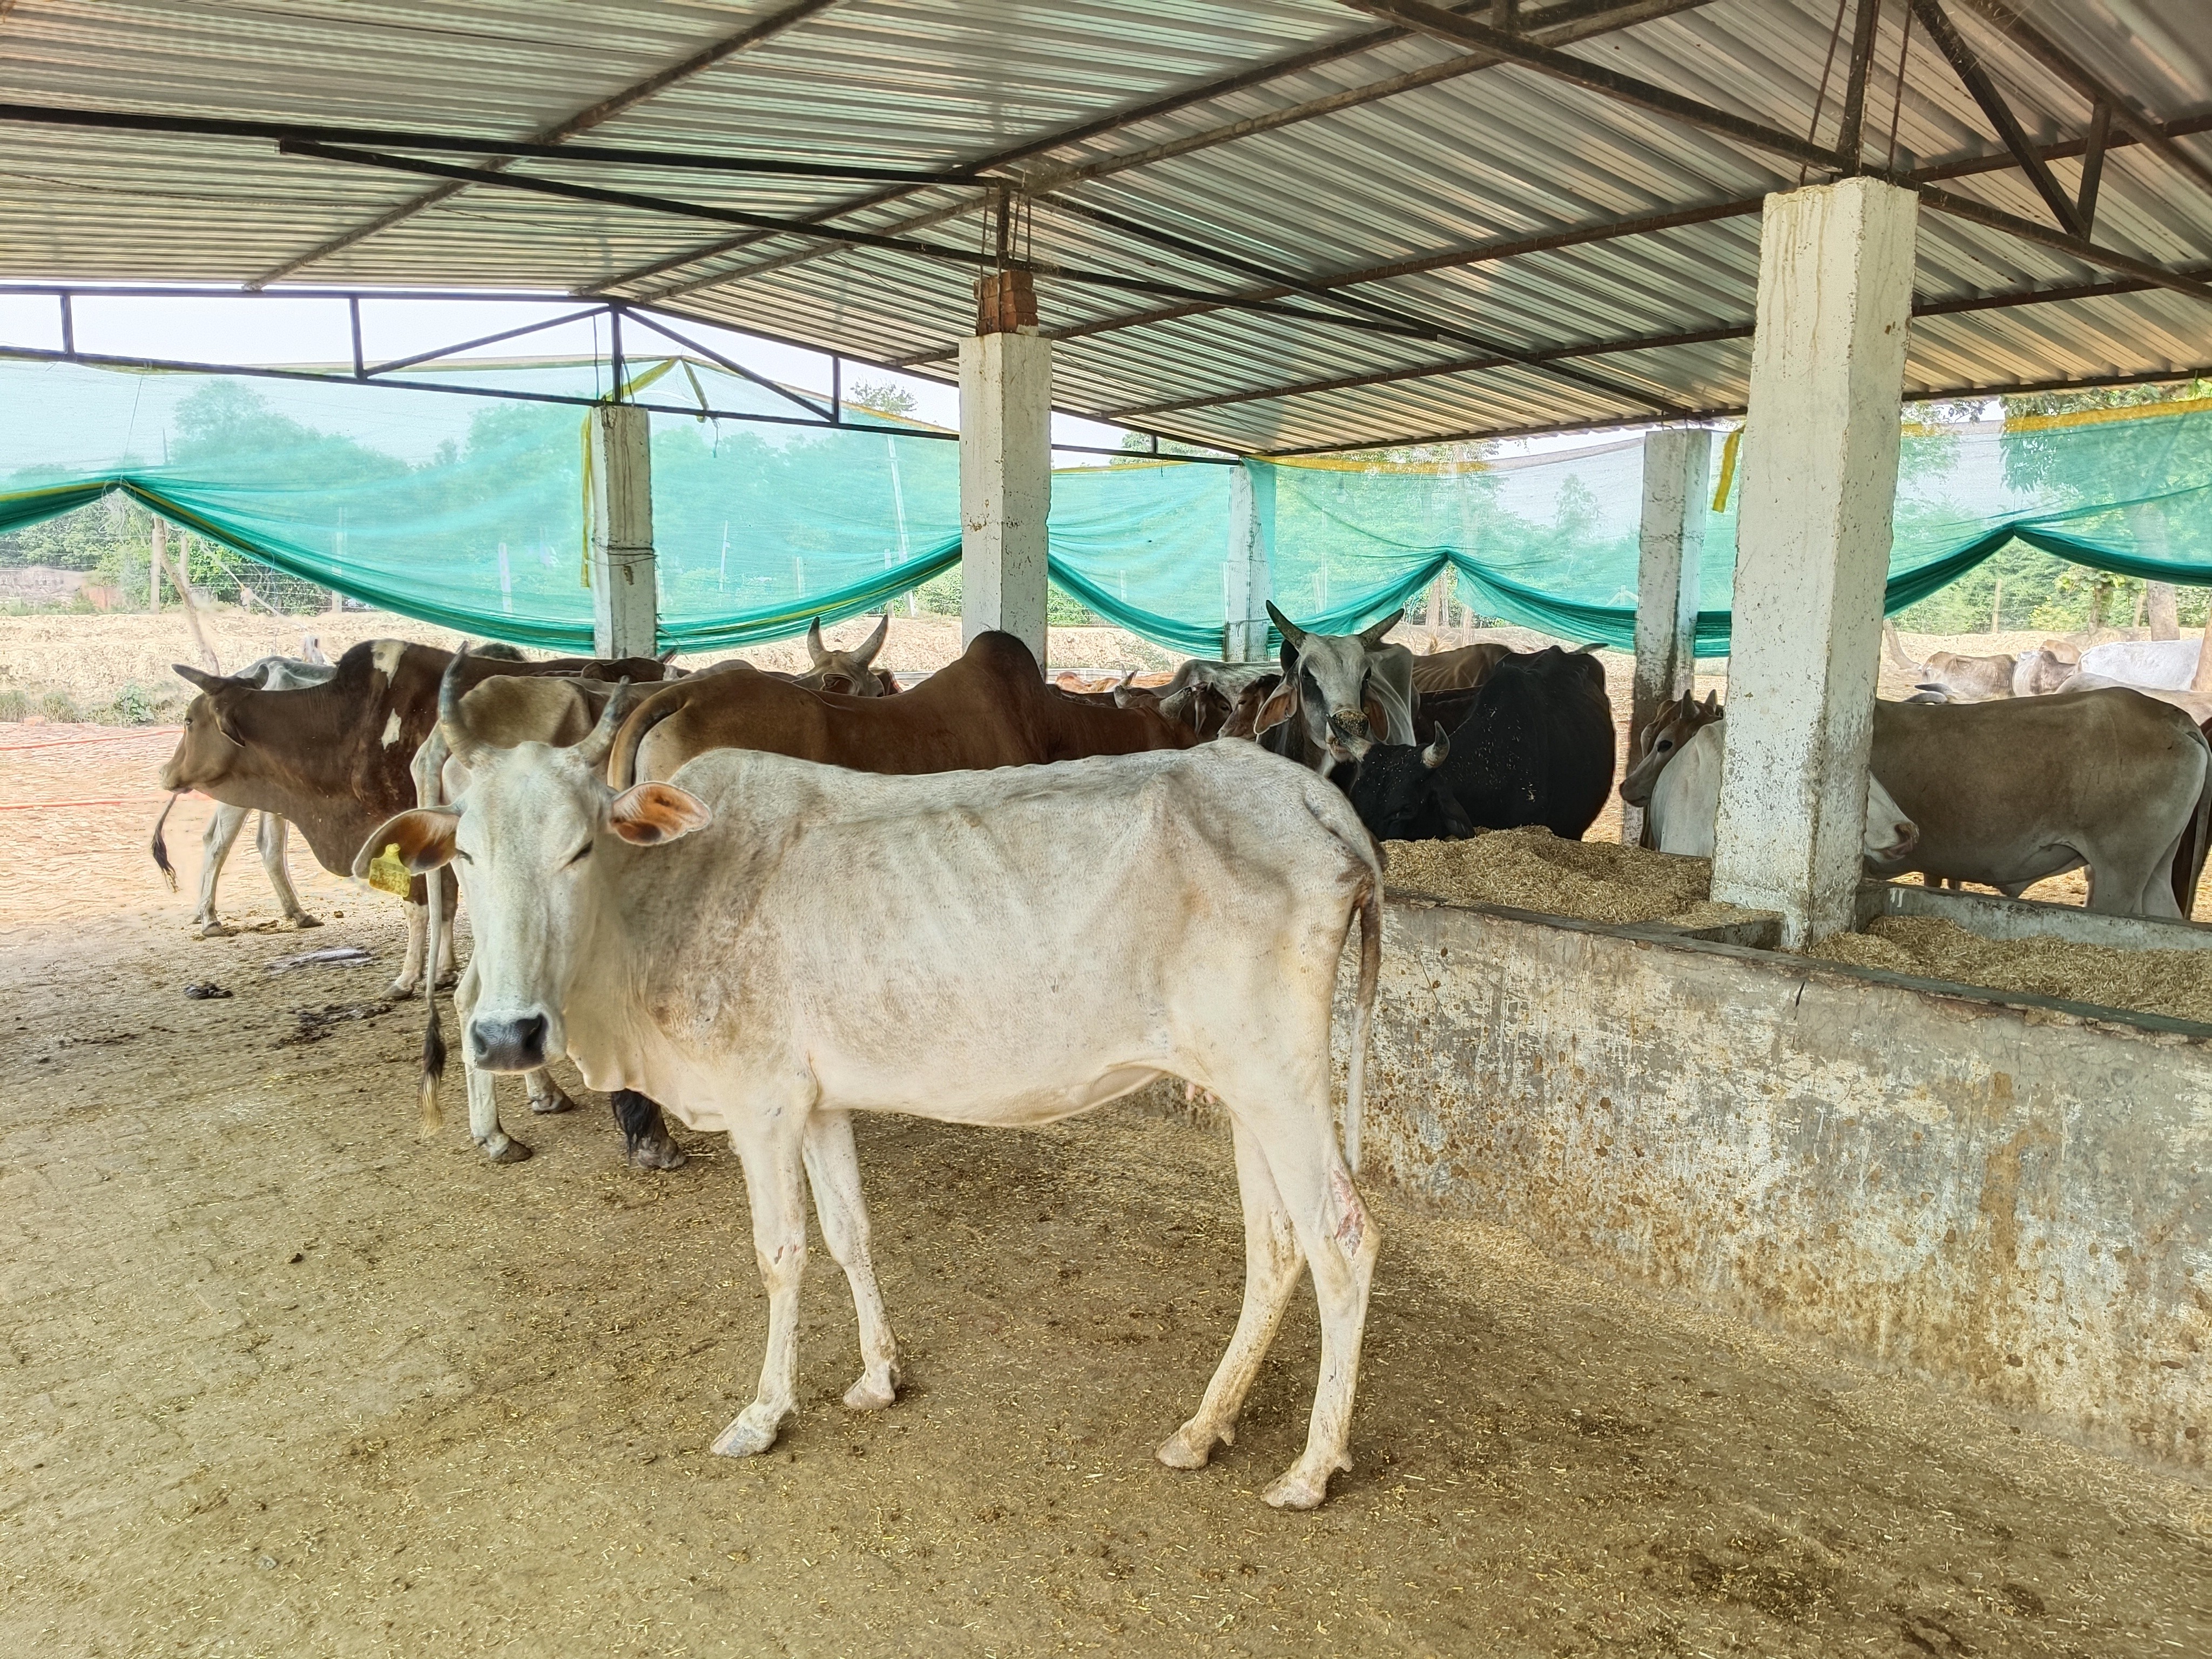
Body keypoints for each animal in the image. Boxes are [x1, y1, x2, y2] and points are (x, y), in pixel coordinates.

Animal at [157, 639, 668, 996]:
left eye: (188, 720)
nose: (165, 772)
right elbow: (446, 899)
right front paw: (440, 971)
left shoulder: (404, 817)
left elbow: (422, 902)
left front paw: (410, 977)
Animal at [358, 688, 1384, 1510]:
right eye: (467, 855)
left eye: (579, 848)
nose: (507, 1037)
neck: (657, 907)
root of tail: (1303, 791)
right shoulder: (818, 1102)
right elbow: (851, 1232)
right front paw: (878, 1377)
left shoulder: (762, 1103)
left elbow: (781, 1253)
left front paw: (764, 1411)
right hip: (1240, 1084)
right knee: (1277, 1245)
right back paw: (1202, 1429)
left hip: (1276, 1074)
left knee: (1340, 1235)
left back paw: (1310, 1467)